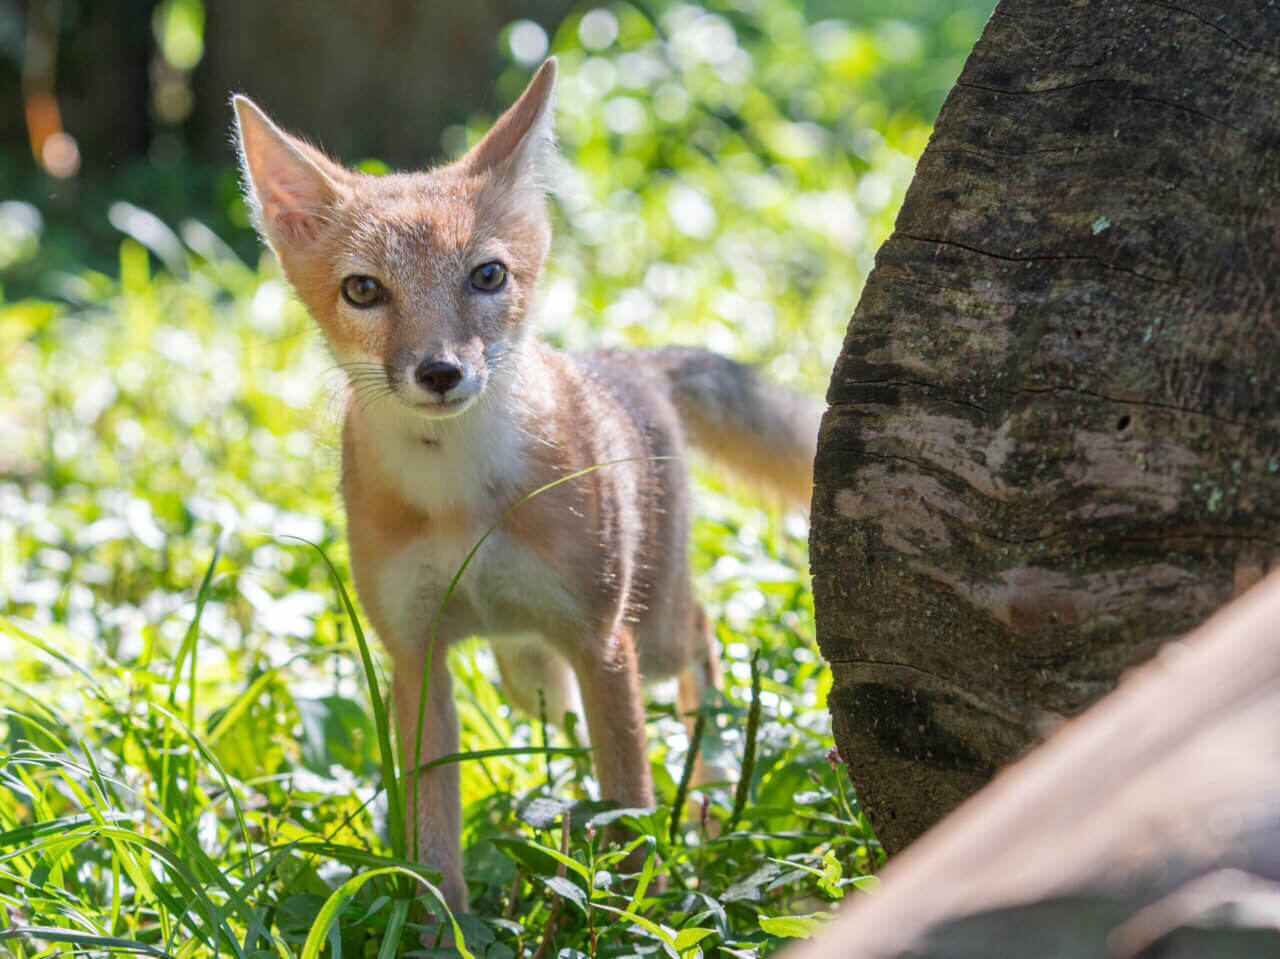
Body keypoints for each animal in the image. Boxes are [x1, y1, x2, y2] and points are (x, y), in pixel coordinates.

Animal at [233, 58, 820, 912]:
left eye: (487, 275)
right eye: (364, 290)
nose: (441, 372)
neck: (457, 499)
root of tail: (625, 363)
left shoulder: (601, 641)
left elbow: (629, 805)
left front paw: (630, 912)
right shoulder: (418, 659)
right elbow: (435, 844)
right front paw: (442, 928)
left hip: (648, 630)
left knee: (705, 637)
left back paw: (711, 789)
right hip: (526, 674)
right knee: (565, 736)